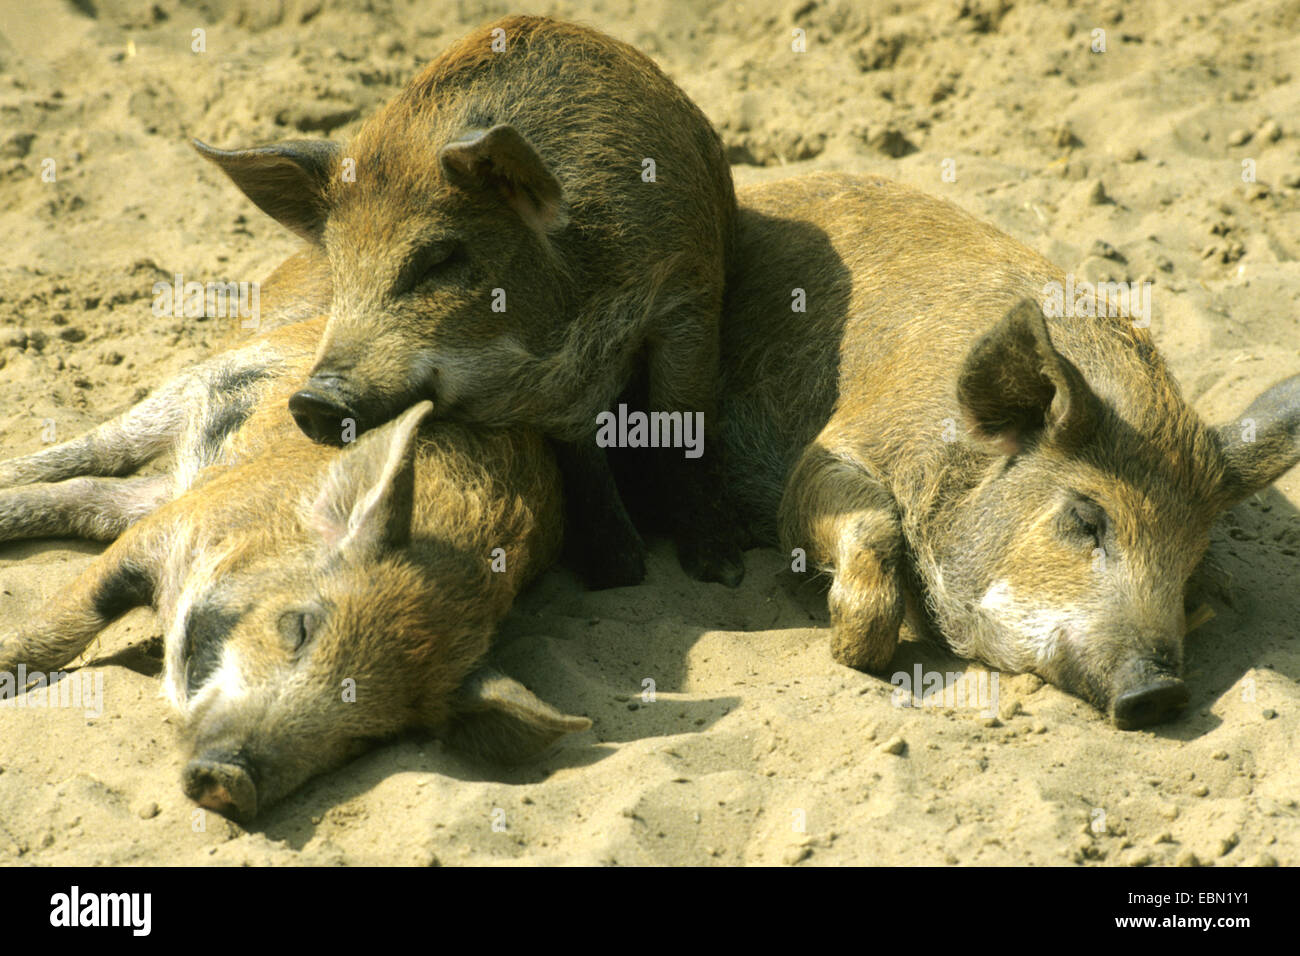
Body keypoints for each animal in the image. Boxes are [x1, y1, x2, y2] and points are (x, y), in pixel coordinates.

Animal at [0, 315, 588, 820]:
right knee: (99, 451)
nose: (235, 781)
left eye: (372, 737)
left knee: (94, 496)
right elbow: (64, 624)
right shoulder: (172, 526)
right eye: (300, 626)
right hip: (206, 382)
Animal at [191, 15, 744, 591]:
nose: (313, 400)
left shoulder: (689, 294)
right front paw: (617, 574)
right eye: (338, 269)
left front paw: (721, 572)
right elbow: (582, 458)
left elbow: (683, 423)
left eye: (440, 258)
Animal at [713, 172, 1300, 729]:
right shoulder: (832, 448)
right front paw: (850, 652)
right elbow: (867, 519)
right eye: (1086, 519)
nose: (1160, 691)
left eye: (1190, 563)